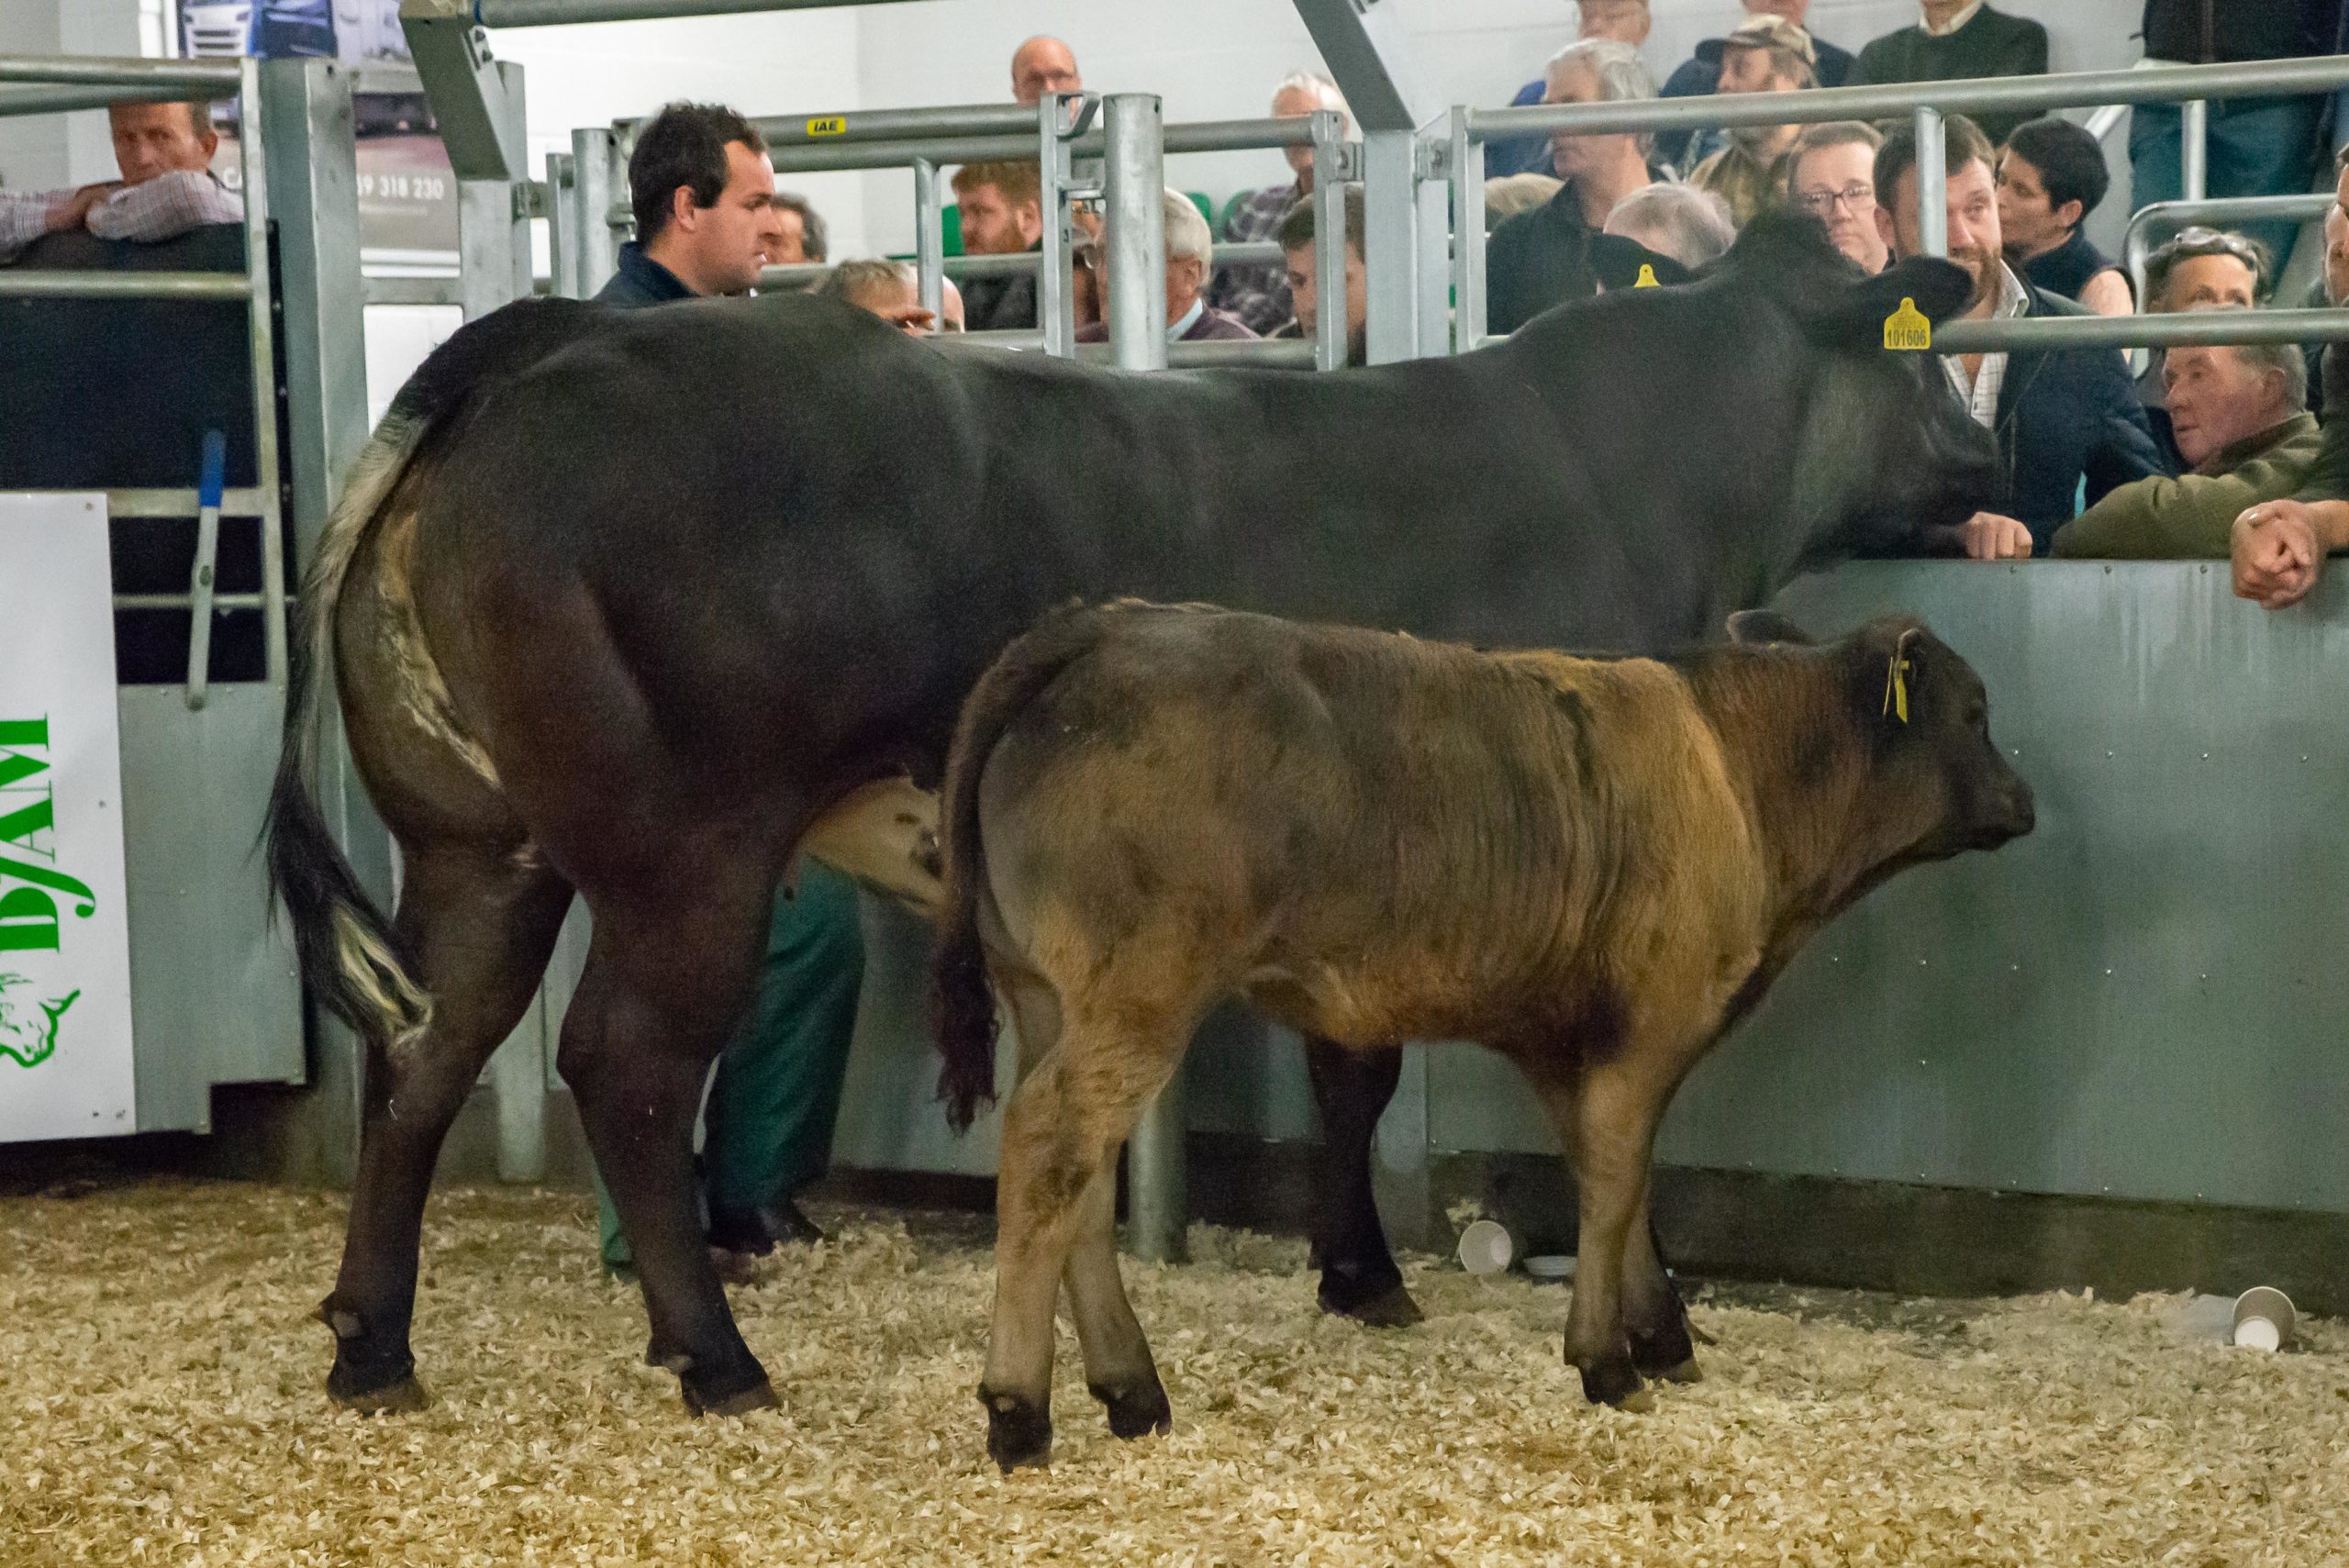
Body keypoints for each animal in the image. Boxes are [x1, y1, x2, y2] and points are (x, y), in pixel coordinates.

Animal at [929, 601, 2035, 1470]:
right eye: (1977, 711)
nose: (2025, 802)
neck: (1735, 763)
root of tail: (1106, 624)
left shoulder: (1567, 1042)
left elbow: (1614, 1180)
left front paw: (1658, 1332)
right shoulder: (1649, 1024)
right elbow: (1618, 1182)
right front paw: (1607, 1358)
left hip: (1050, 999)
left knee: (1075, 1181)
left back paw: (1131, 1389)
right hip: (1133, 1002)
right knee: (1048, 1147)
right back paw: (1021, 1409)